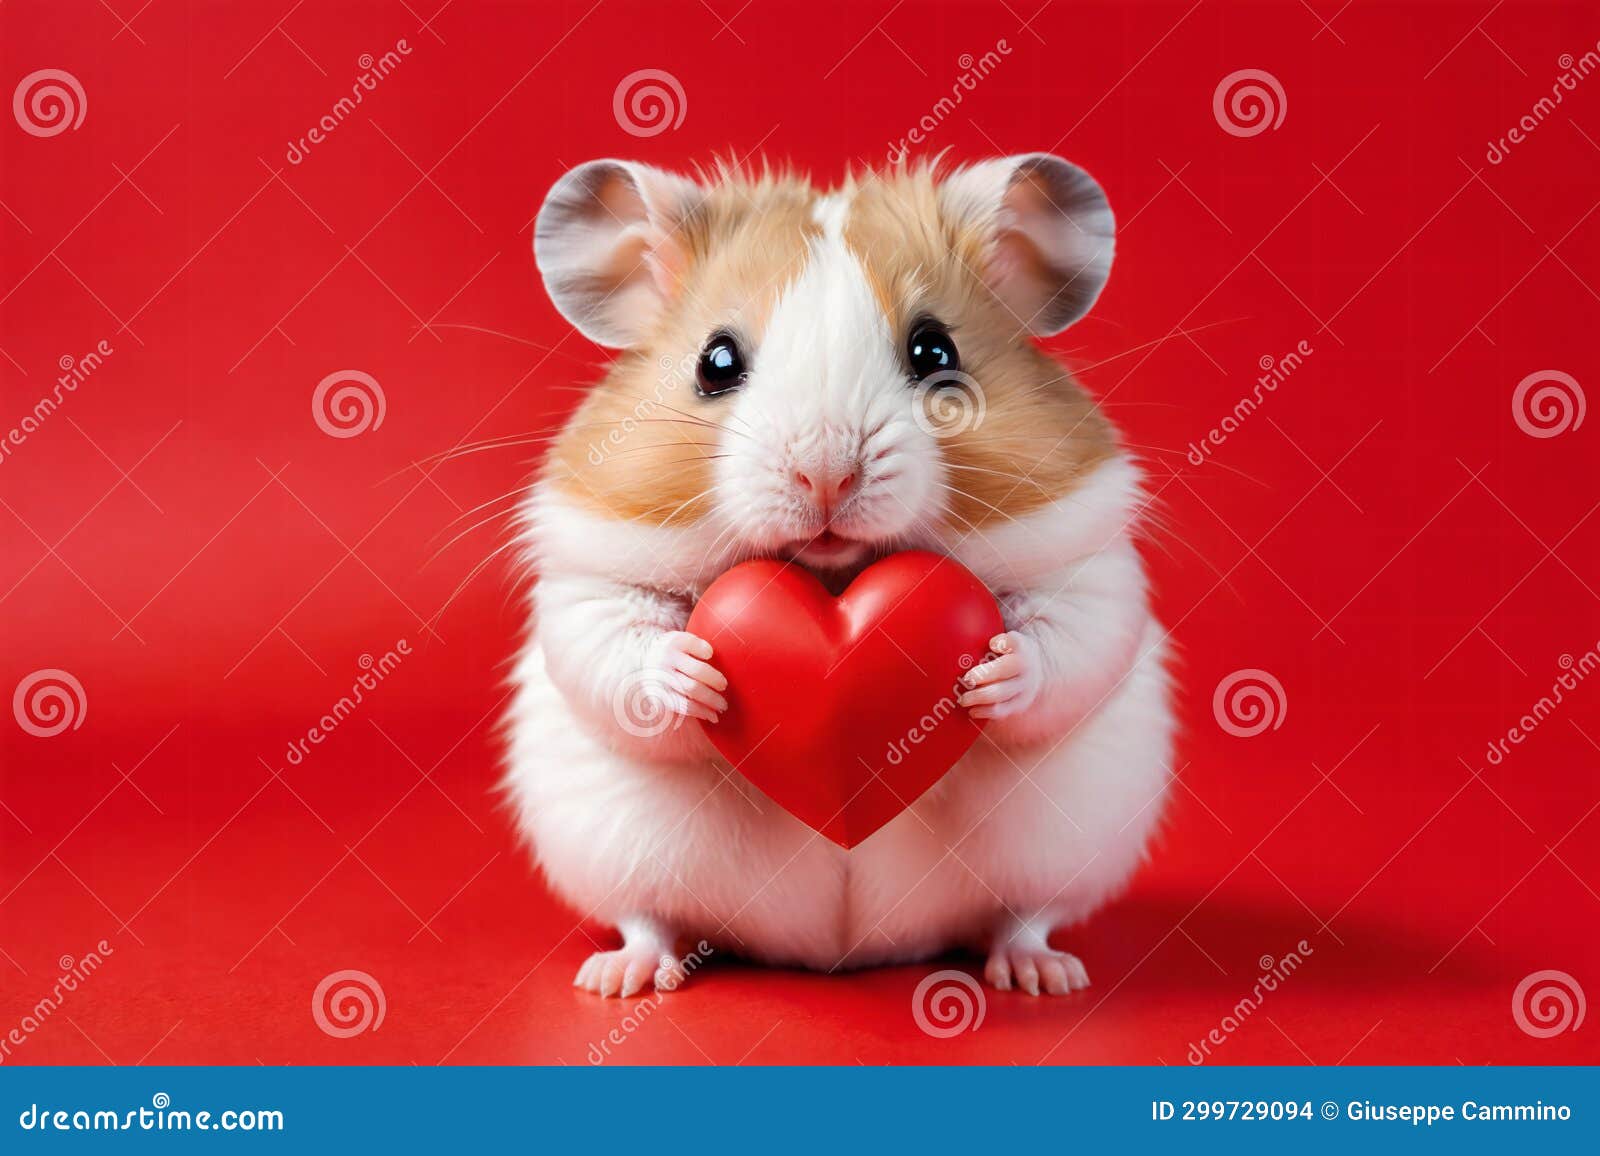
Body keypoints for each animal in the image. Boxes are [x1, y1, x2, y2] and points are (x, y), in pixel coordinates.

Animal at [503, 154, 1173, 998]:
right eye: (715, 363)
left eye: (935, 353)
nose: (825, 475)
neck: (832, 573)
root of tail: (839, 953)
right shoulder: (588, 575)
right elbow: (616, 649)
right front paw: (697, 671)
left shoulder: (1090, 566)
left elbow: (1067, 645)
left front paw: (989, 673)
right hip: (614, 855)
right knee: (647, 918)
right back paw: (618, 978)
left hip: (1059, 855)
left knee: (1022, 917)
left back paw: (1044, 976)